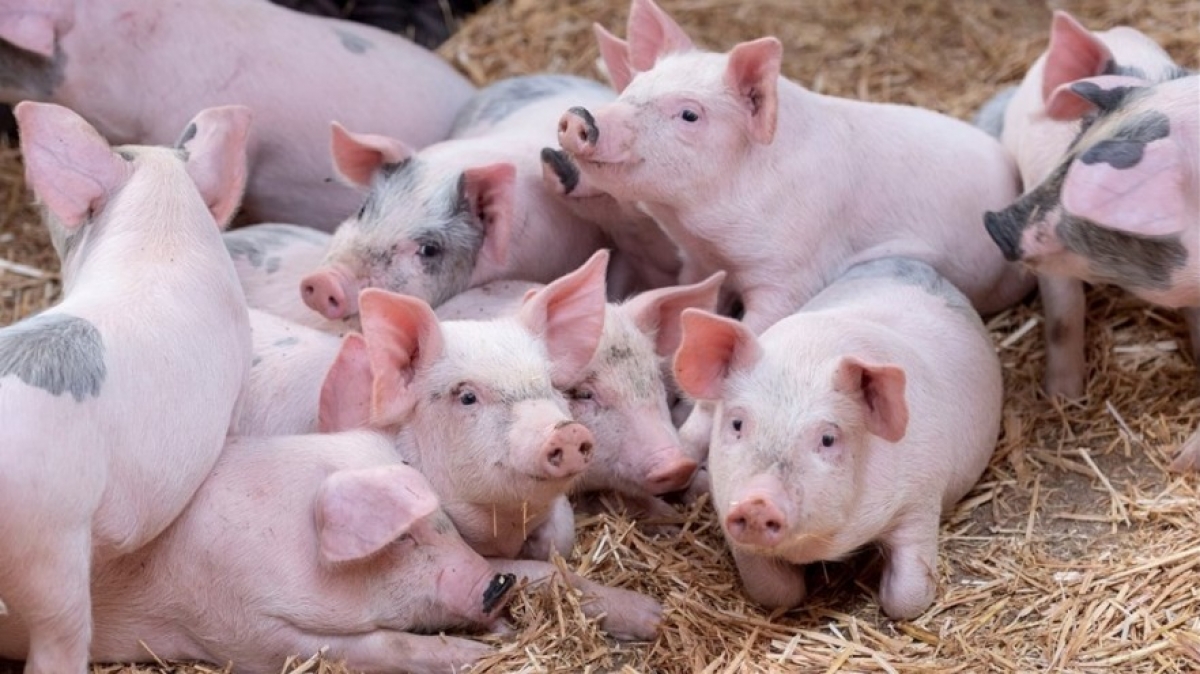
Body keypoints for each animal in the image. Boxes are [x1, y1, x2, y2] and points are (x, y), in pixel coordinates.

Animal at [0, 431, 520, 673]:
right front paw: (475, 655)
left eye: (444, 522)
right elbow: (375, 646)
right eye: (402, 538)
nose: (498, 583)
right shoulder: (240, 628)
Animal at [555, 0, 1033, 336]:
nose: (579, 117)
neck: (711, 236)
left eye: (690, 115)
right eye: (631, 88)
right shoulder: (697, 262)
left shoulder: (793, 274)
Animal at [673, 257, 1002, 619]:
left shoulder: (922, 497)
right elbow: (775, 592)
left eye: (828, 438)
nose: (758, 501)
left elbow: (907, 598)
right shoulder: (726, 502)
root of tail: (910, 263)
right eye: (737, 423)